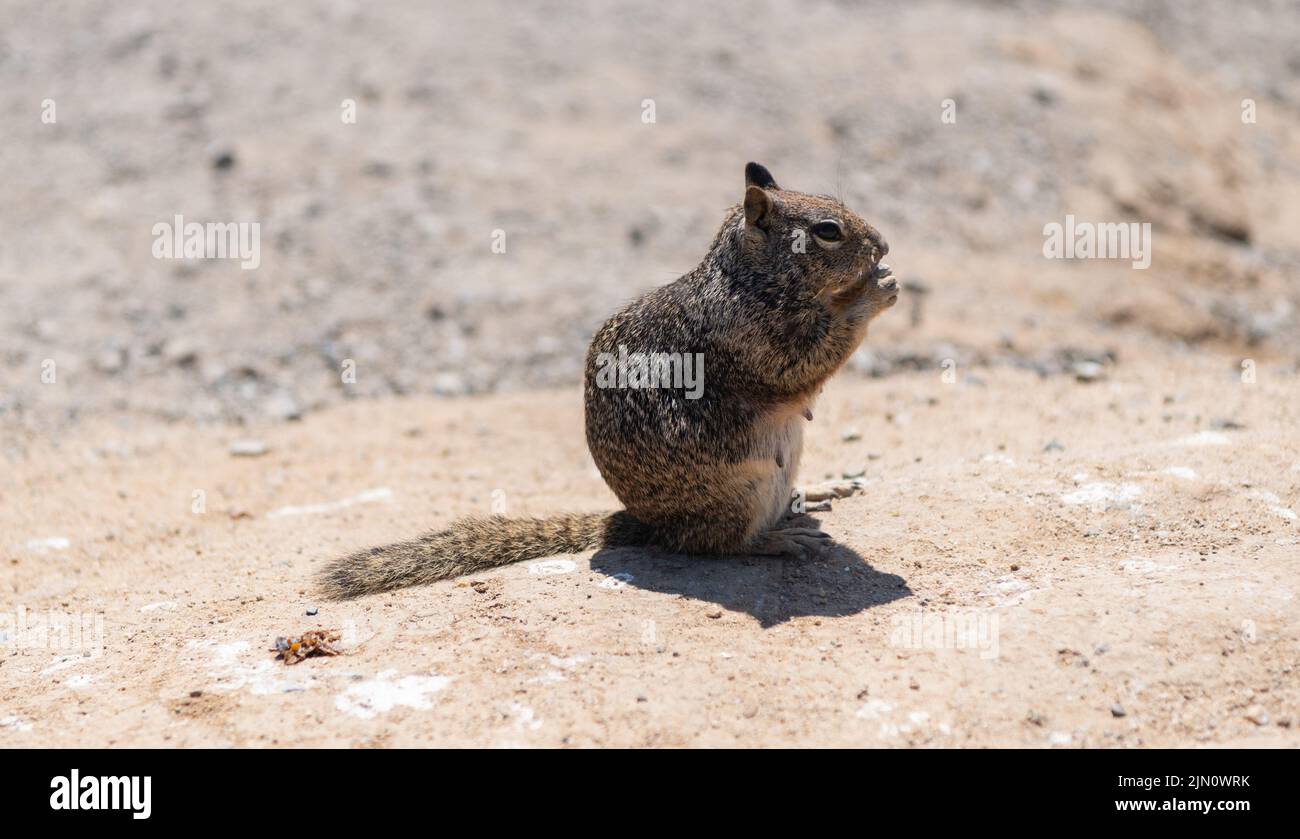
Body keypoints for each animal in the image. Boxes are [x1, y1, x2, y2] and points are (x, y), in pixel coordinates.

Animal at [318, 162, 899, 598]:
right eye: (827, 230)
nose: (885, 245)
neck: (749, 280)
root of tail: (649, 526)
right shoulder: (752, 339)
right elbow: (805, 362)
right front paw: (871, 293)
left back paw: (810, 494)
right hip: (739, 495)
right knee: (716, 544)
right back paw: (776, 539)